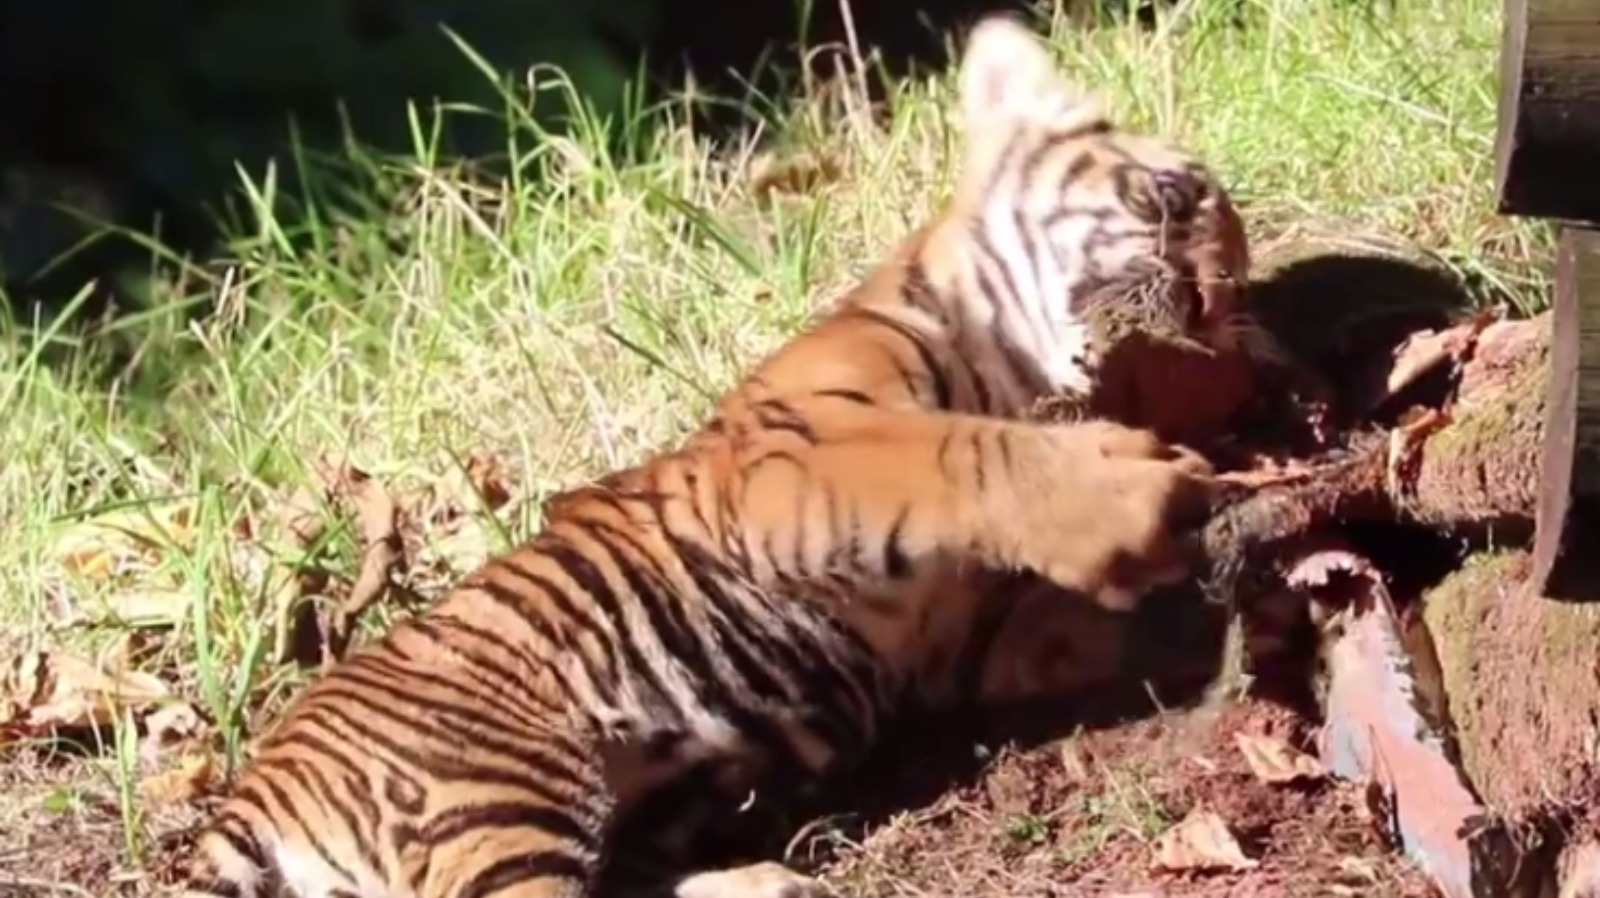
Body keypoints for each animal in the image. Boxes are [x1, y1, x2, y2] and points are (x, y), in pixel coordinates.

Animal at [180, 15, 1251, 898]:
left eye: (1238, 287)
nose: (1213, 307)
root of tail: (255, 790)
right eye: (1174, 195)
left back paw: (768, 882)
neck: (1005, 368)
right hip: (490, 792)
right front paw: (1130, 494)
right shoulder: (794, 459)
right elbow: (957, 454)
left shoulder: (974, 642)